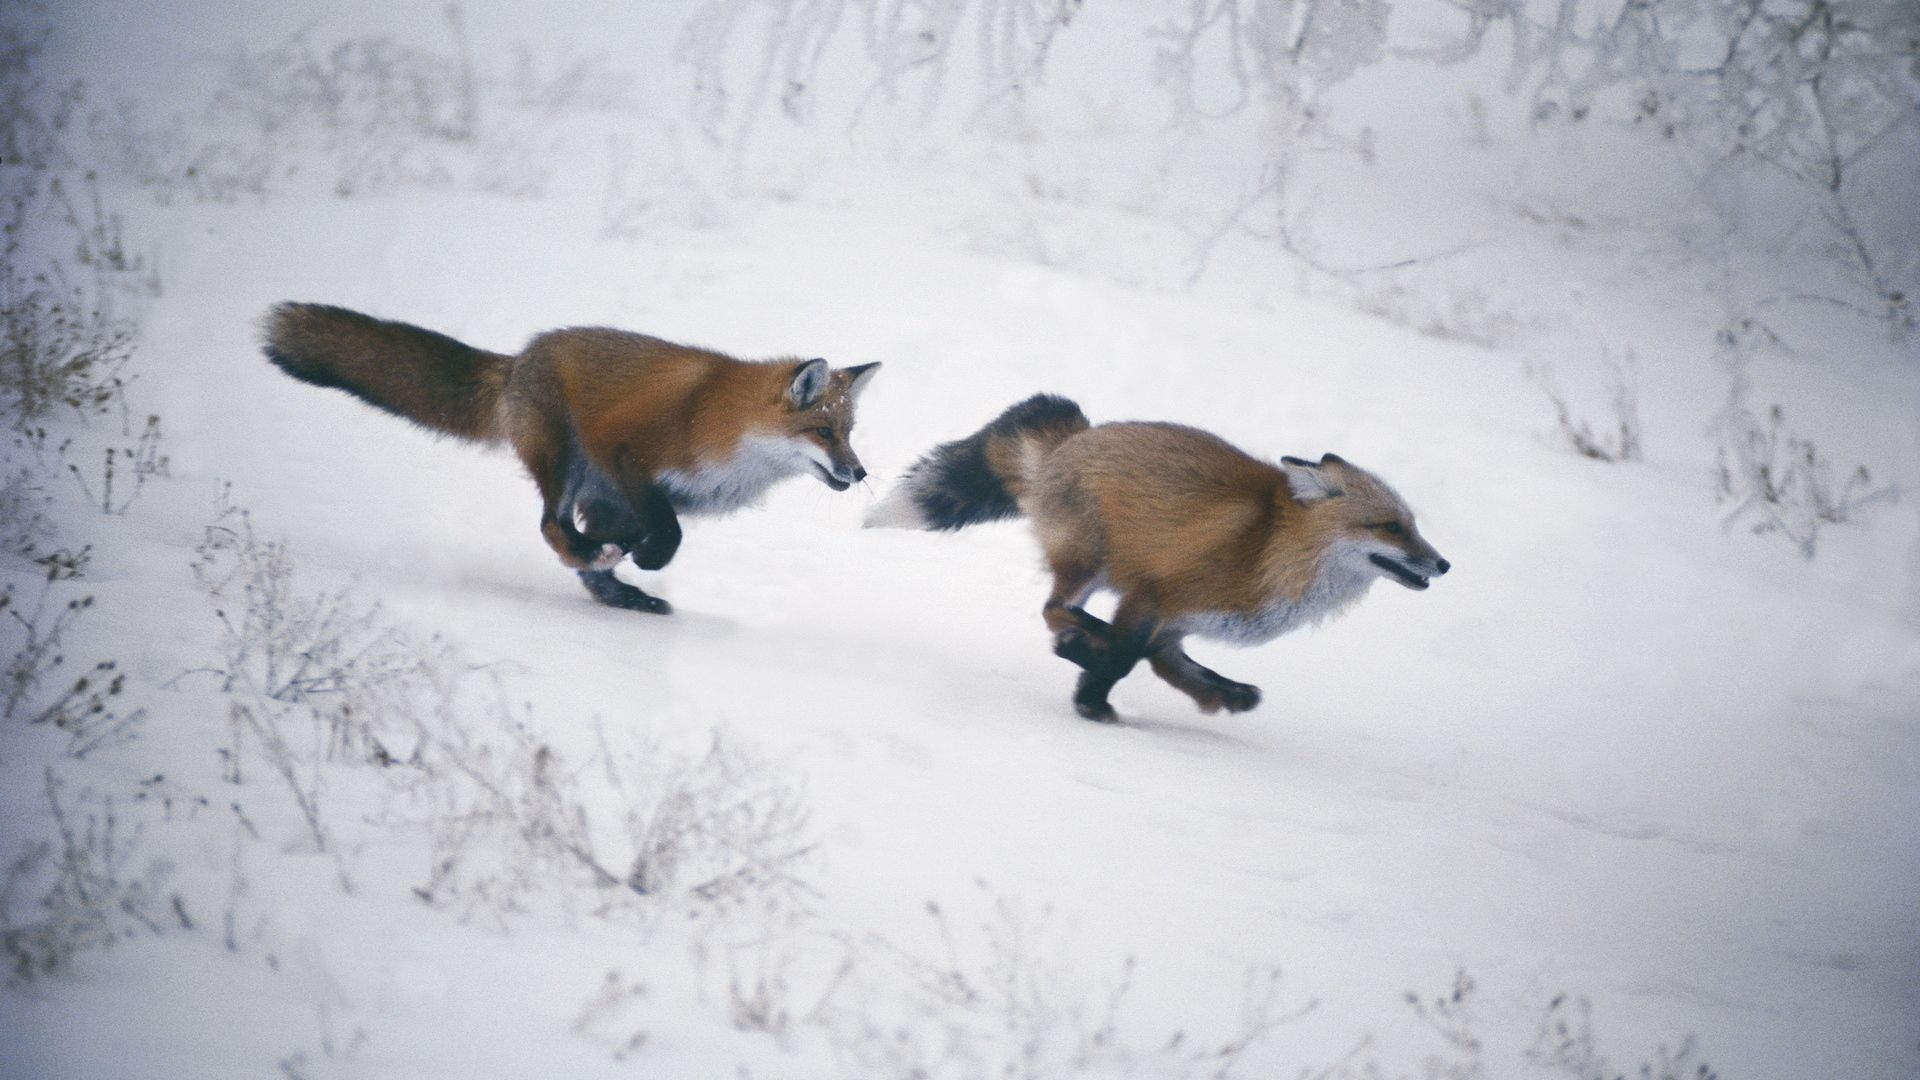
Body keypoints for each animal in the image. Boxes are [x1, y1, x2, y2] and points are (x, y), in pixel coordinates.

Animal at [261, 302, 879, 614]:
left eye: (849, 433)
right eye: (823, 432)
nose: (860, 472)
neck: (730, 433)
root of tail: (518, 359)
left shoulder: (648, 498)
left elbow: (650, 534)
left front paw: (634, 565)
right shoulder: (625, 452)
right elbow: (668, 532)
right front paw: (646, 559)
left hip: (589, 487)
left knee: (579, 553)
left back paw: (624, 593)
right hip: (567, 460)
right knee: (551, 528)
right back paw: (604, 564)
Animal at [865, 394, 1449, 721]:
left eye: (1414, 525)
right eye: (1391, 527)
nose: (1444, 566)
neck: (1271, 549)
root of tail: (1076, 436)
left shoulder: (1179, 622)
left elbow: (1170, 663)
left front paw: (1222, 695)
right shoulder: (1153, 595)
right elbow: (1126, 657)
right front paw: (1092, 703)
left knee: (1082, 622)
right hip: (1089, 562)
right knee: (1055, 610)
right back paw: (1082, 641)